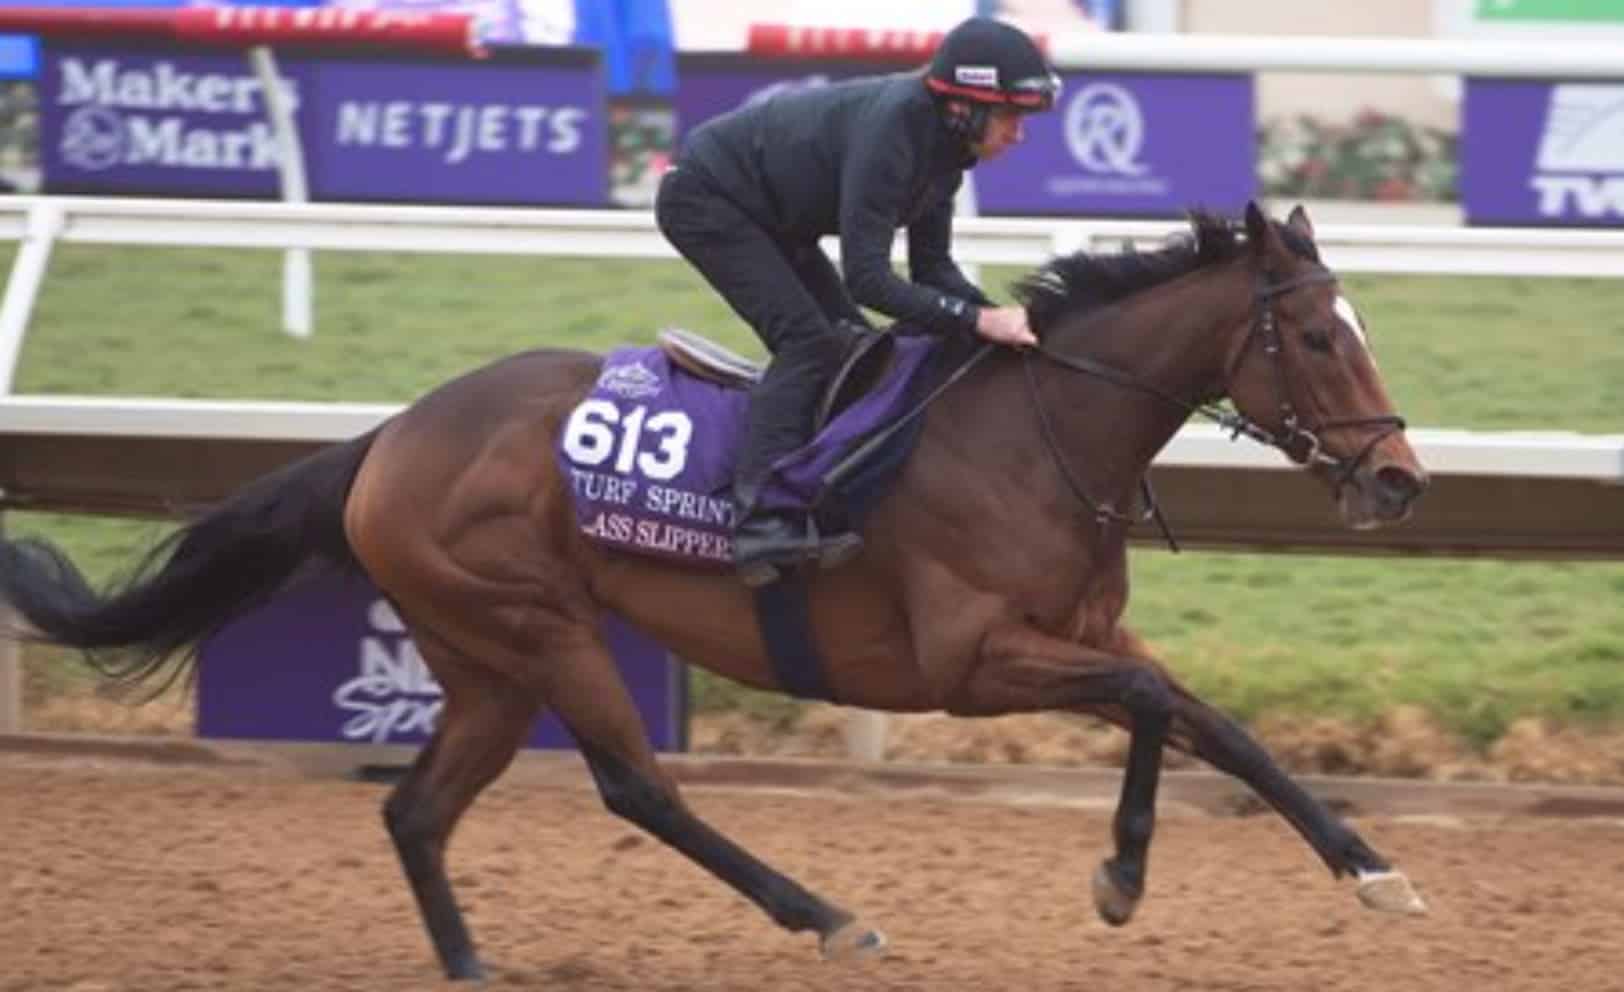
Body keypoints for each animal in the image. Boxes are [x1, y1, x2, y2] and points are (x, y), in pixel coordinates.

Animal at [0, 201, 1429, 981]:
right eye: (1316, 336)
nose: (1401, 478)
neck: (1037, 431)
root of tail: (390, 436)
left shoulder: (1076, 631)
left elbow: (1208, 721)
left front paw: (1372, 870)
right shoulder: (970, 662)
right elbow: (1144, 698)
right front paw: (1121, 872)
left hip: (484, 660)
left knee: (418, 808)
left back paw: (468, 960)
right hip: (540, 625)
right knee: (637, 786)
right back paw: (829, 917)